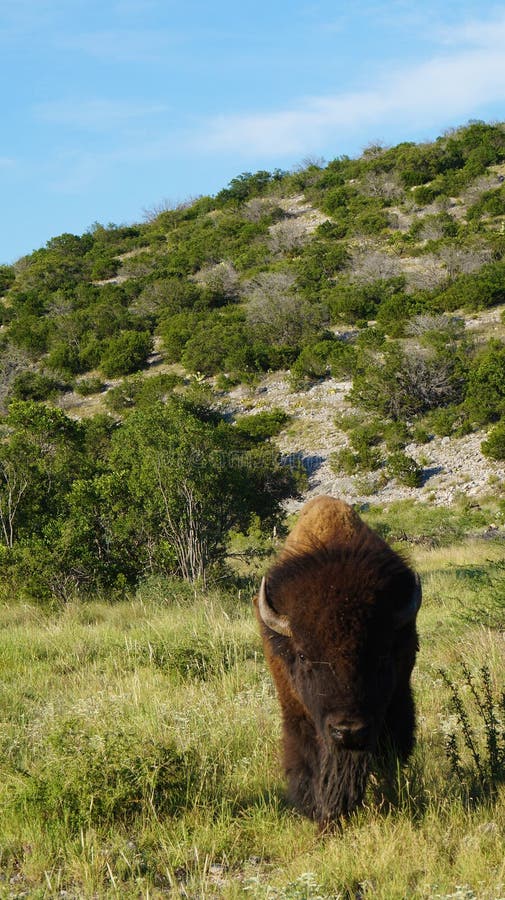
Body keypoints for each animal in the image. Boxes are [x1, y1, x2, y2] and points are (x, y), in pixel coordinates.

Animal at [254, 496, 421, 827]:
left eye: (383, 653)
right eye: (303, 655)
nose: (348, 730)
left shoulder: (395, 699)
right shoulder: (297, 711)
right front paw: (322, 815)